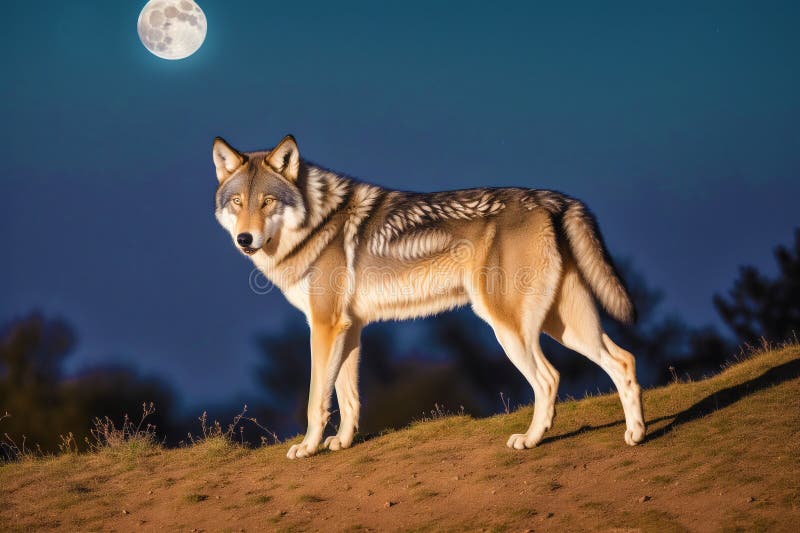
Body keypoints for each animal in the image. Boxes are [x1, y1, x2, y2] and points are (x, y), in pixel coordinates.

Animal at [212, 134, 646, 459]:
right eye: (238, 202)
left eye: (267, 201)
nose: (245, 239)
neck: (315, 225)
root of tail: (553, 198)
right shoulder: (349, 328)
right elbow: (348, 397)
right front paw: (343, 442)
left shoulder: (324, 325)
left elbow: (316, 398)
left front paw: (307, 447)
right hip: (565, 327)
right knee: (623, 359)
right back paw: (636, 434)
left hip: (508, 328)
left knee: (550, 378)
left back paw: (532, 439)